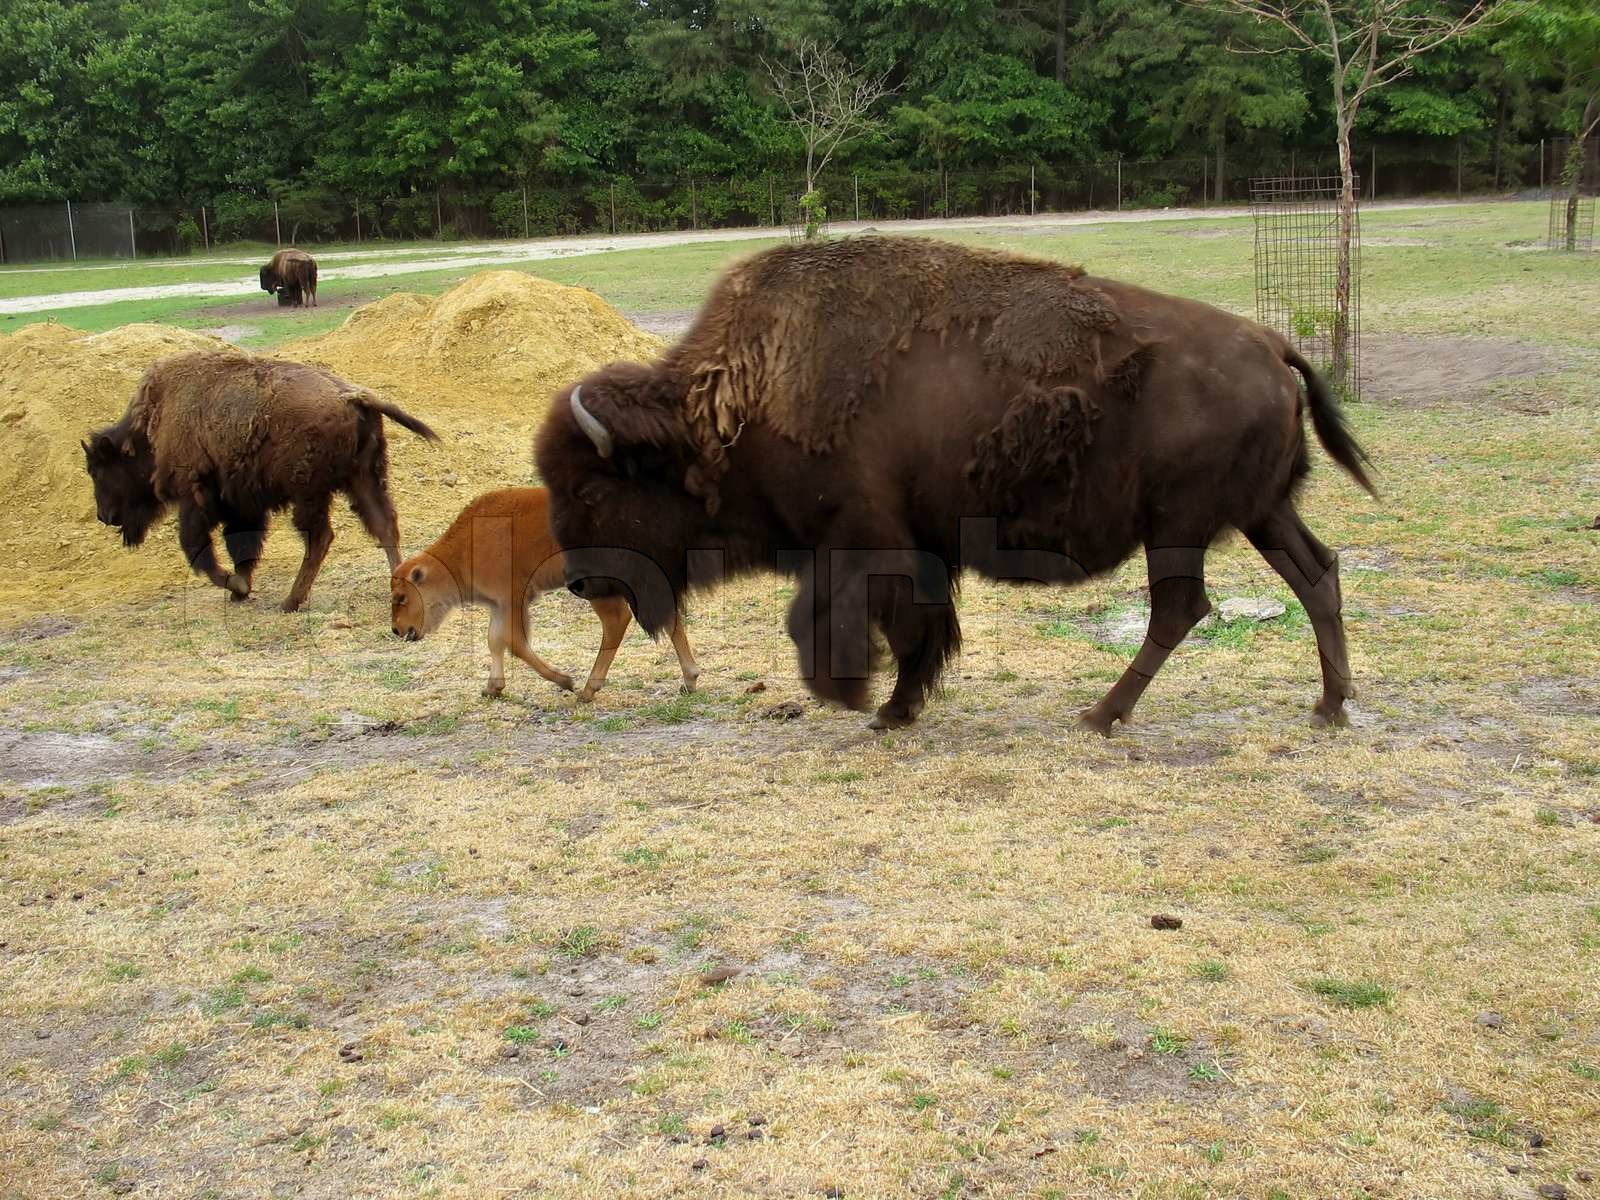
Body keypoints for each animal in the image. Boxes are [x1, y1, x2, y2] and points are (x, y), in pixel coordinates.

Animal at [84, 351, 437, 611]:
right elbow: (241, 545)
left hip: (309, 493)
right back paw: (397, 586)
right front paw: (239, 590)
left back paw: (291, 601)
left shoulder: (195, 497)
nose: (104, 515)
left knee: (321, 538)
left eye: (97, 471)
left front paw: (236, 586)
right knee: (384, 526)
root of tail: (353, 398)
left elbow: (197, 546)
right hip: (364, 479)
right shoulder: (242, 505)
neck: (151, 423)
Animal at [535, 236, 1375, 732]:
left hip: (1180, 526)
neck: (730, 403)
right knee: (1314, 575)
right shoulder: (913, 545)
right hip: (1261, 512)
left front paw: (862, 699)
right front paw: (892, 706)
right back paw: (1330, 705)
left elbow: (847, 622)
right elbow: (919, 625)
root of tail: (1270, 344)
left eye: (592, 492)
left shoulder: (860, 539)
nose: (579, 582)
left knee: (1181, 607)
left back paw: (1101, 715)